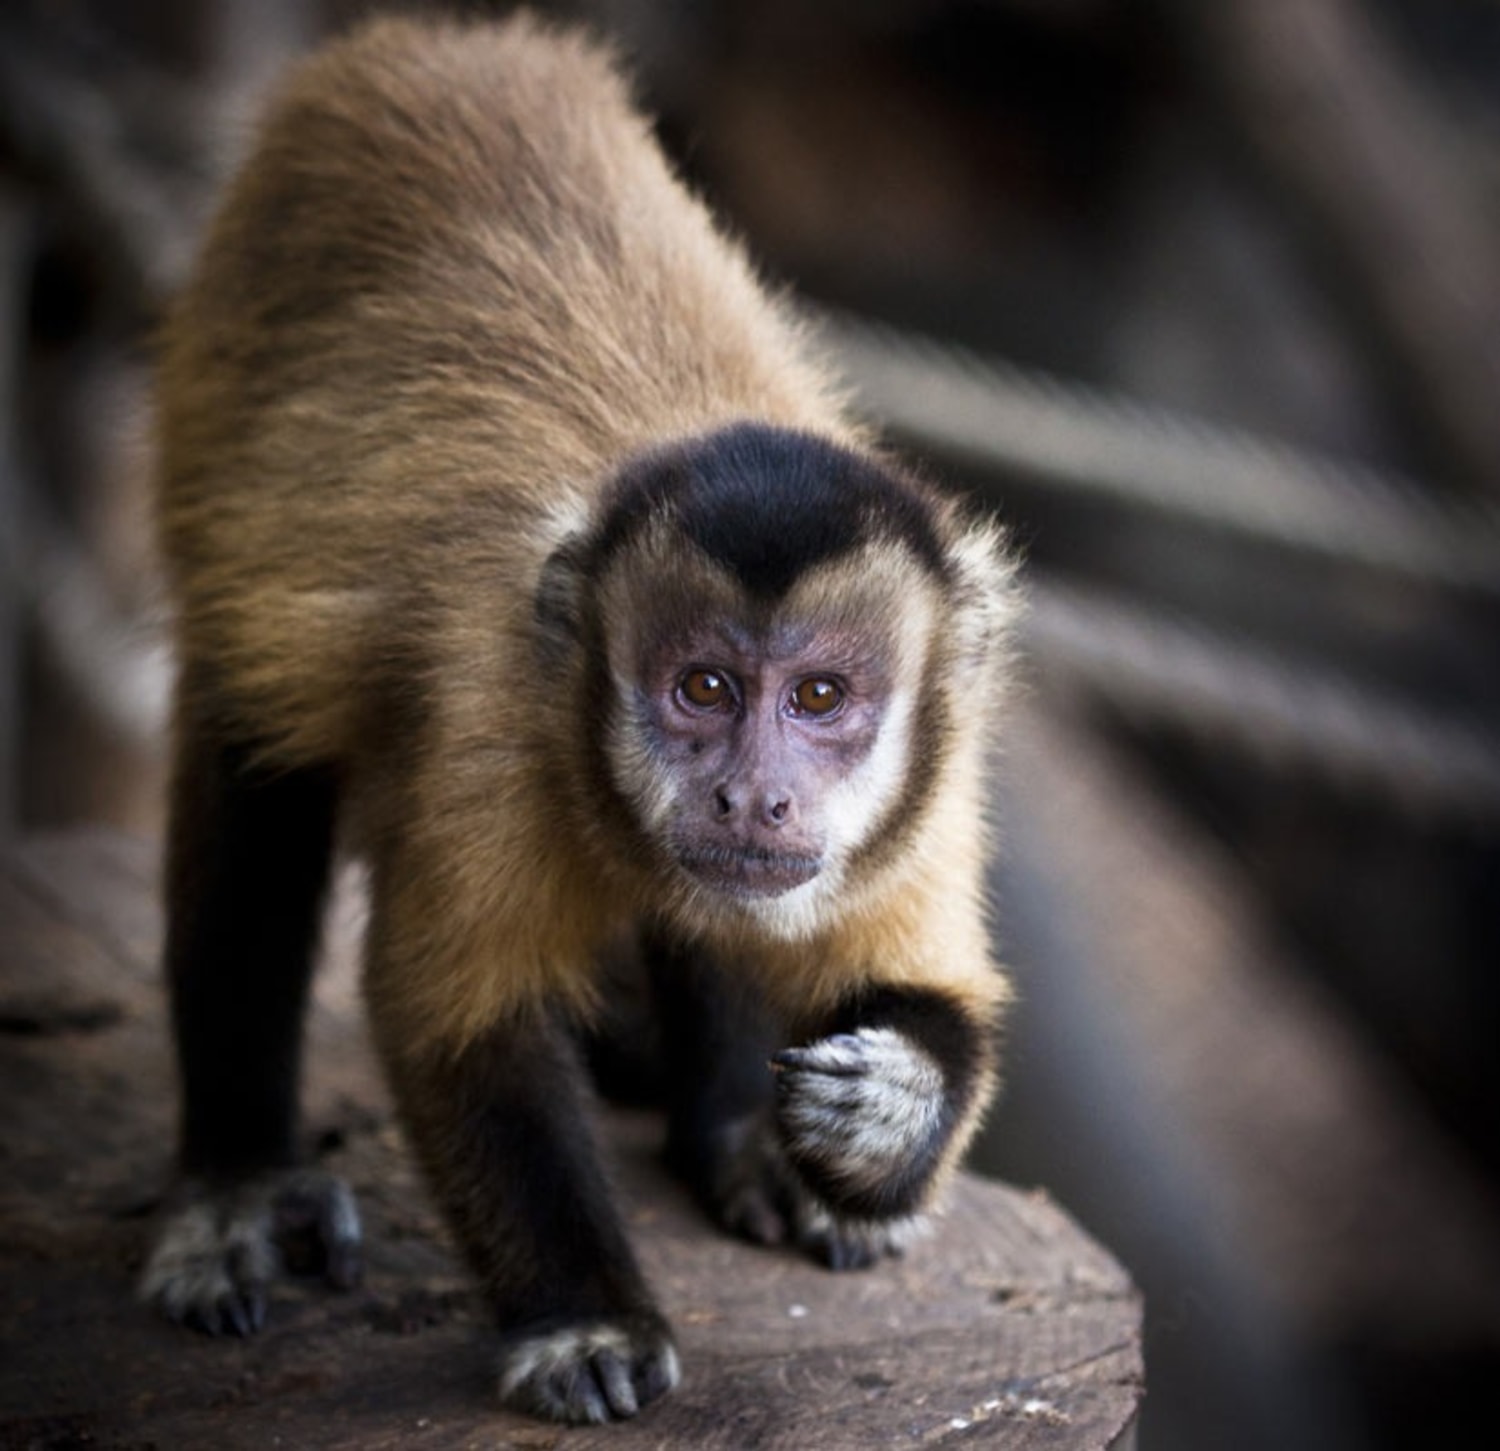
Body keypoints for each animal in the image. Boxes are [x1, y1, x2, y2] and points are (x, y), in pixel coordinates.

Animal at [137, 10, 1018, 1426]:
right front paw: (582, 1319)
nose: (753, 792)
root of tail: (432, 46)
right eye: (701, 688)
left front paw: (887, 1108)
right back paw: (236, 1180)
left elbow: (928, 990)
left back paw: (731, 1134)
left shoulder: (940, 769)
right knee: (254, 740)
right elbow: (459, 1019)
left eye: (822, 696)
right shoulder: (496, 721)